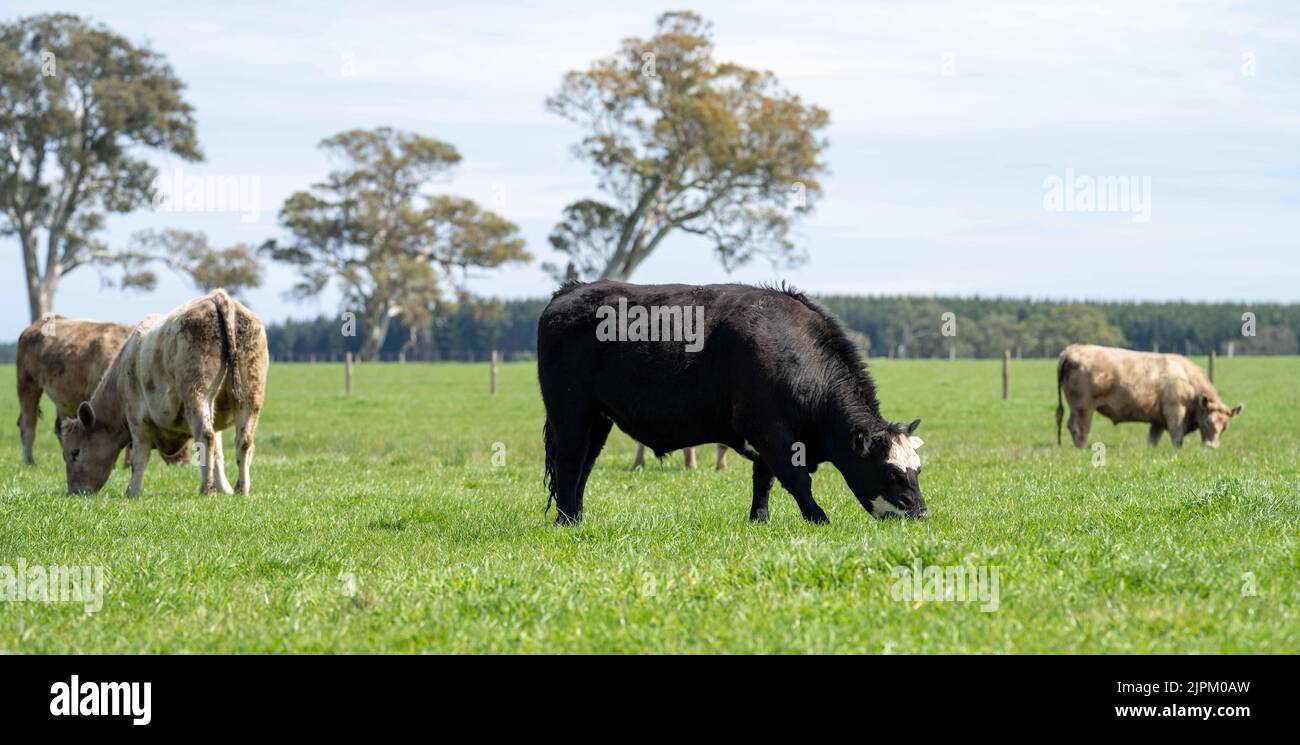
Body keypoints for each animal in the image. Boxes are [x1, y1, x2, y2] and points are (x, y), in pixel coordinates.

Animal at [16, 317, 192, 467]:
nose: (185, 463)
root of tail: (33, 326)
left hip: (61, 401)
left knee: (58, 427)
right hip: (27, 384)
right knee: (28, 425)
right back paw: (29, 462)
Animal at [58, 290, 268, 496]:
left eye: (74, 452)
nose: (75, 492)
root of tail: (218, 297)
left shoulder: (137, 418)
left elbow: (139, 458)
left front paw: (132, 491)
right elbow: (218, 455)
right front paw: (226, 489)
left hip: (197, 394)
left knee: (206, 437)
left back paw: (207, 489)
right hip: (250, 397)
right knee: (244, 442)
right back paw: (241, 489)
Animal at [537, 280, 928, 524]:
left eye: (918, 469)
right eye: (892, 472)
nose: (921, 512)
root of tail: (570, 291)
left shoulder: (766, 436)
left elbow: (764, 480)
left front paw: (760, 520)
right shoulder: (769, 430)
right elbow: (796, 479)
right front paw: (819, 518)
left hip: (598, 419)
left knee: (584, 466)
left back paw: (573, 516)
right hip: (570, 414)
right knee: (570, 464)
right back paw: (570, 521)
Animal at [1056, 343, 1243, 449]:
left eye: (1225, 427)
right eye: (1207, 422)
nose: (1212, 447)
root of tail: (1071, 350)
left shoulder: (1158, 420)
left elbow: (1152, 439)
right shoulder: (1175, 411)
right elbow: (1177, 436)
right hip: (1083, 407)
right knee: (1078, 428)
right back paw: (1081, 448)